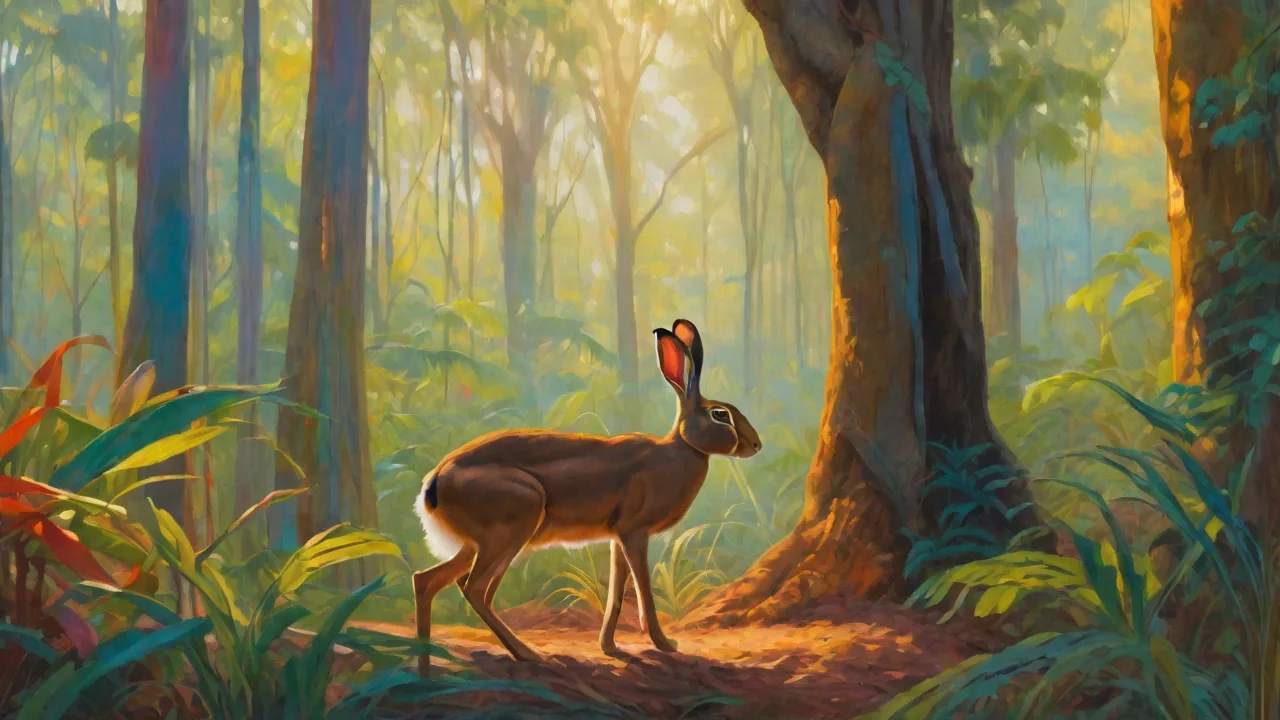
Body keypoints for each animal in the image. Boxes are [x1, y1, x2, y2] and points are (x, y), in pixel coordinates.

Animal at [411, 319, 761, 672]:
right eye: (720, 414)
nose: (756, 446)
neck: (680, 449)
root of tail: (435, 482)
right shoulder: (634, 532)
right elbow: (643, 589)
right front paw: (665, 644)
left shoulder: (618, 537)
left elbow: (617, 592)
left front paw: (610, 647)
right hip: (514, 525)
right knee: (475, 589)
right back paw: (528, 653)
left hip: (482, 542)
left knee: (428, 582)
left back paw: (426, 667)